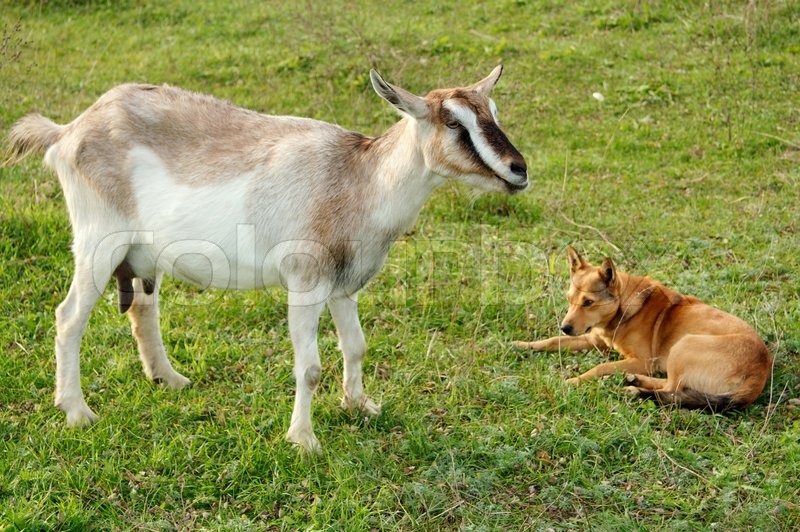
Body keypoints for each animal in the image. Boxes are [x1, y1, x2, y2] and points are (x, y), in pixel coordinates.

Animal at [6, 66, 528, 453]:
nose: (518, 170)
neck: (358, 178)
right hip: (99, 242)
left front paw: (360, 406)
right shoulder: (305, 283)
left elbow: (356, 347)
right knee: (69, 317)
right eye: (454, 124)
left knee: (141, 308)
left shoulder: (343, 287)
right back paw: (77, 411)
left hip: (143, 255)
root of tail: (69, 131)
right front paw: (304, 440)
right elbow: (310, 367)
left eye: (493, 112)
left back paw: (168, 379)